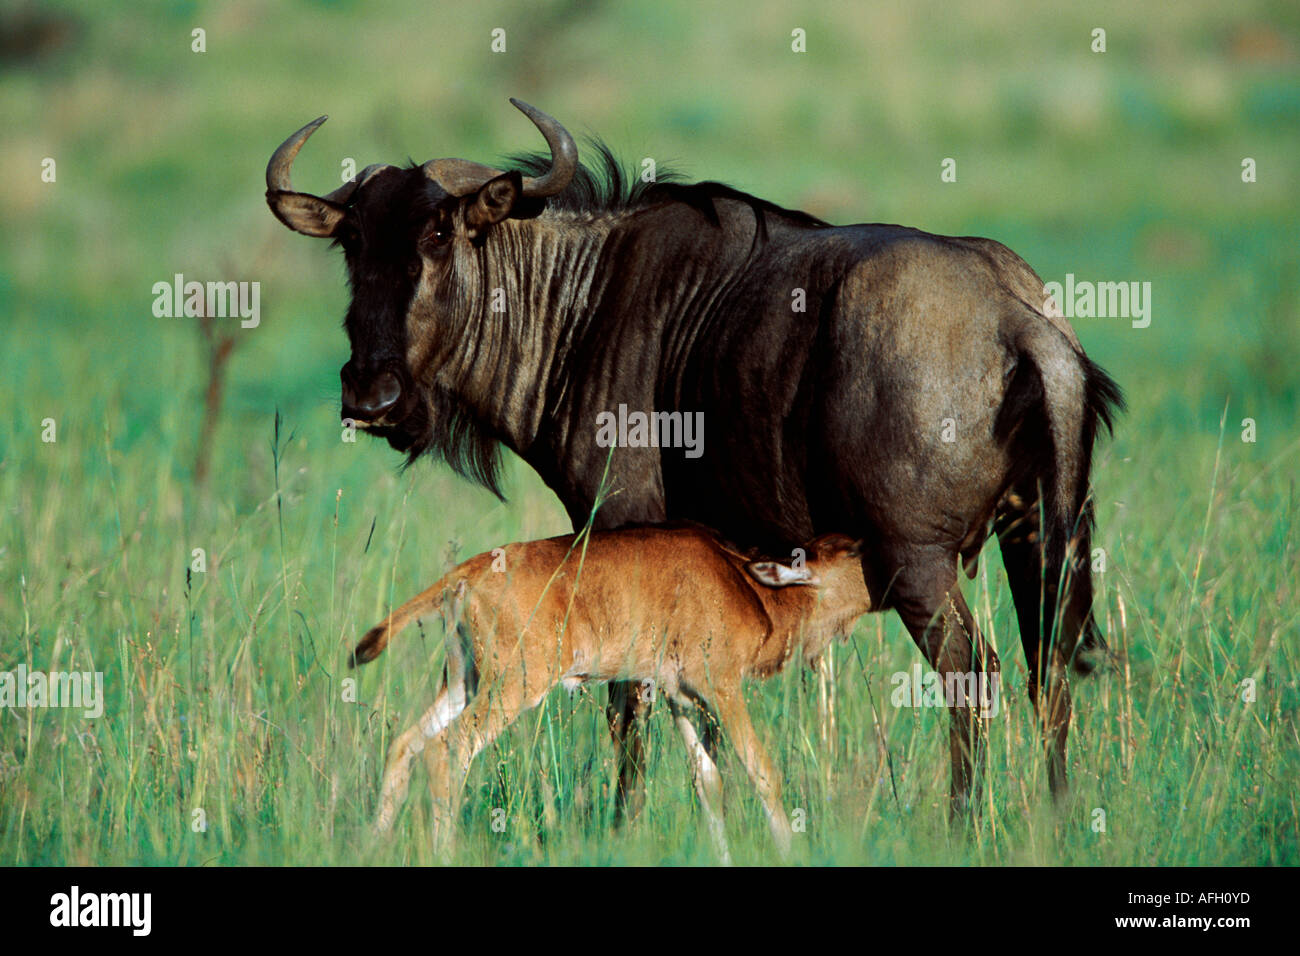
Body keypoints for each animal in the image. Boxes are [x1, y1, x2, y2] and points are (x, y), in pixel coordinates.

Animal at [265, 98, 1122, 819]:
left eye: (439, 235)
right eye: (351, 241)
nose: (370, 394)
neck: (578, 303)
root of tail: (1020, 317)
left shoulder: (617, 523)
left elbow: (628, 698)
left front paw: (625, 821)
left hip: (919, 562)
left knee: (970, 675)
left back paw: (963, 824)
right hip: (1040, 539)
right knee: (1049, 671)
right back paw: (1057, 818)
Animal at [352, 524, 873, 860]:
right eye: (855, 553)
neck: (747, 584)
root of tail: (467, 573)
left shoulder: (681, 699)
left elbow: (708, 783)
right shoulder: (723, 690)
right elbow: (763, 772)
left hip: (465, 682)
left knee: (406, 744)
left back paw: (372, 845)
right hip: (515, 686)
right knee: (449, 747)